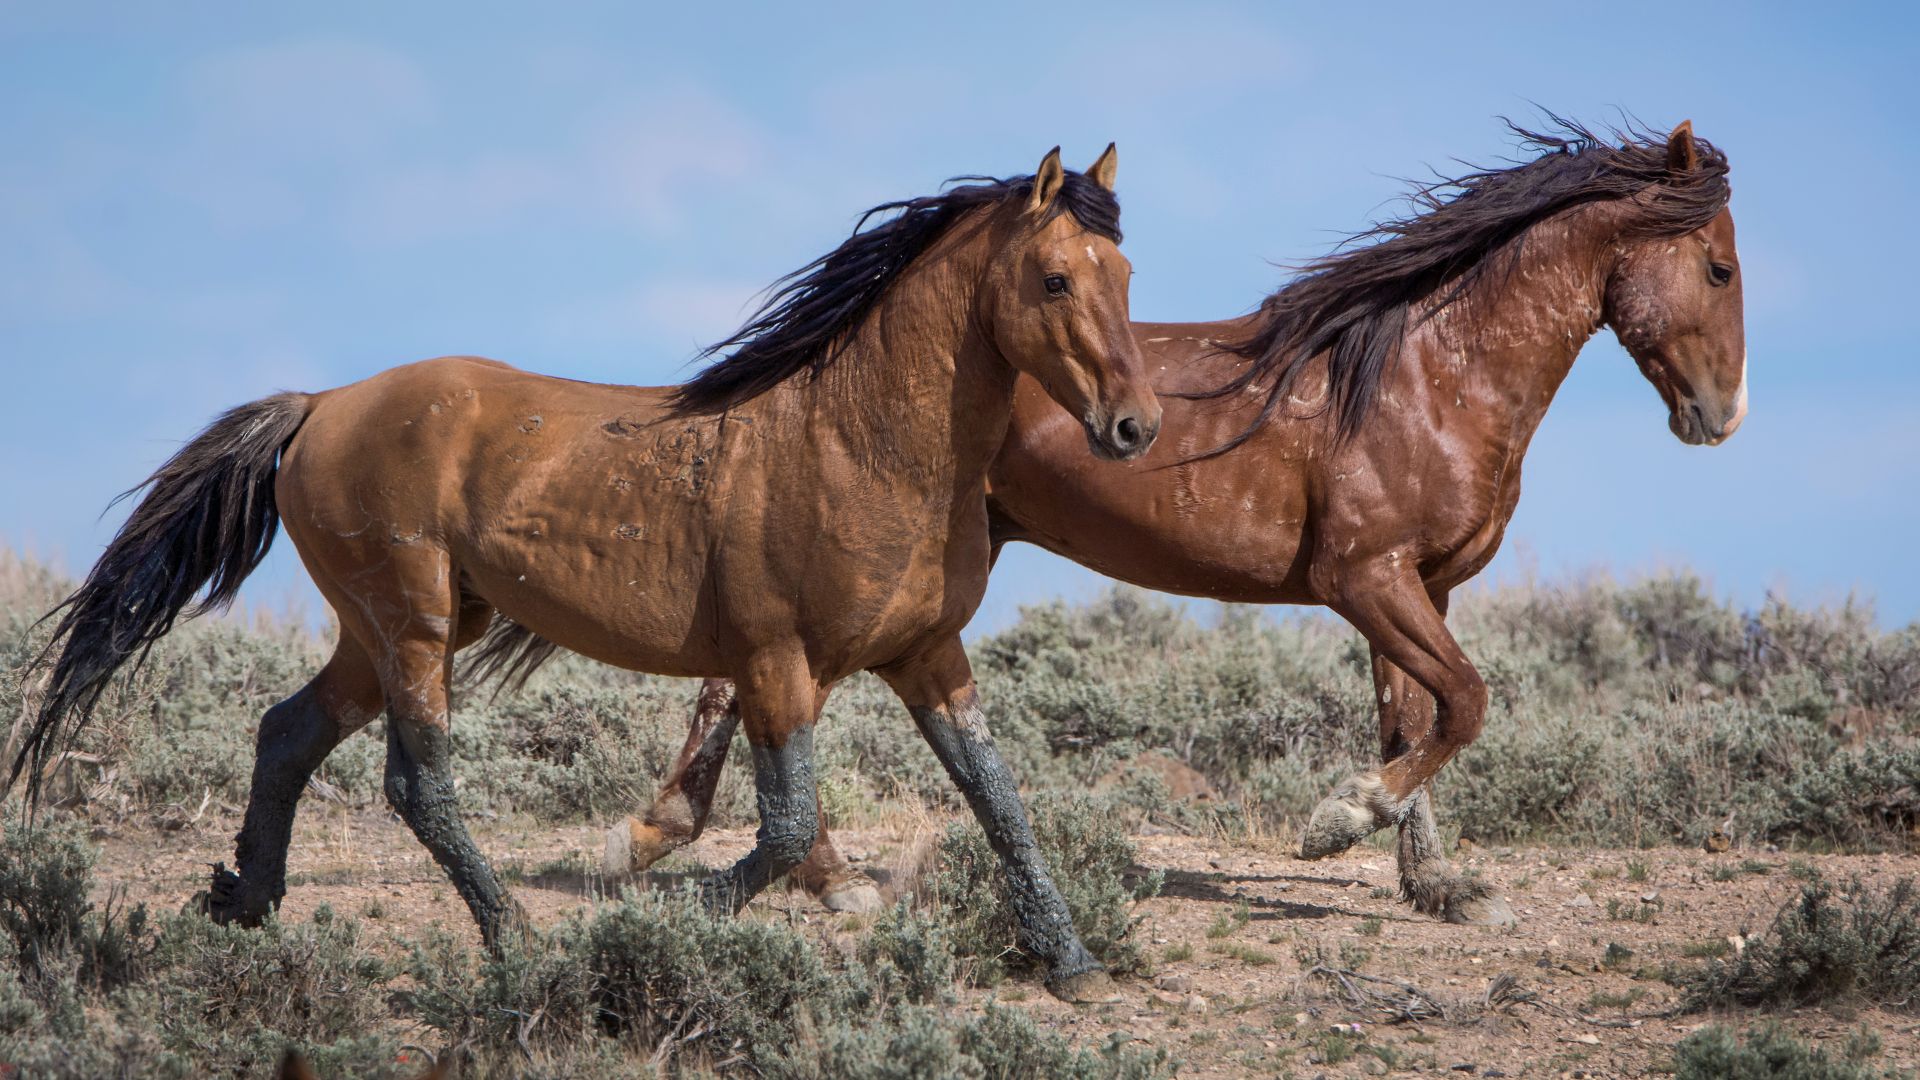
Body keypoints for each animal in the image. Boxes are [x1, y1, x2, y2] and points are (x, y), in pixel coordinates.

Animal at [11, 146, 1162, 1001]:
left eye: (1126, 277)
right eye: (1055, 279)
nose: (1134, 427)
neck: (857, 440)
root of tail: (321, 405)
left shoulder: (928, 655)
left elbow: (997, 797)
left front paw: (1072, 962)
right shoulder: (778, 663)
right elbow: (787, 822)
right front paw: (675, 918)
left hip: (394, 632)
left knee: (286, 732)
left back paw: (245, 902)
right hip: (413, 628)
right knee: (415, 780)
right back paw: (513, 937)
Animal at [610, 119, 1747, 927]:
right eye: (1722, 267)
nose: (1721, 415)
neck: (1428, 377)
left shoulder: (1420, 588)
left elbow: (1416, 717)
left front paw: (1440, 887)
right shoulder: (1366, 581)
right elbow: (1466, 704)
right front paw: (1335, 822)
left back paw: (687, 838)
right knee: (753, 685)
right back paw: (707, 847)